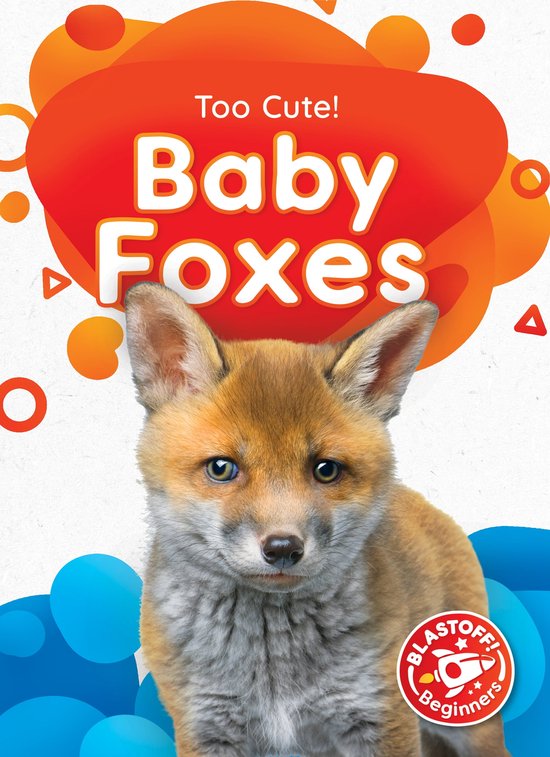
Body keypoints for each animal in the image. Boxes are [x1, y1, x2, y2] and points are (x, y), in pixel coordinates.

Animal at [125, 283, 510, 757]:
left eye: (326, 470)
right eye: (221, 468)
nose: (282, 548)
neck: (272, 667)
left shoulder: (379, 715)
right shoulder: (206, 725)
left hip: (469, 725)